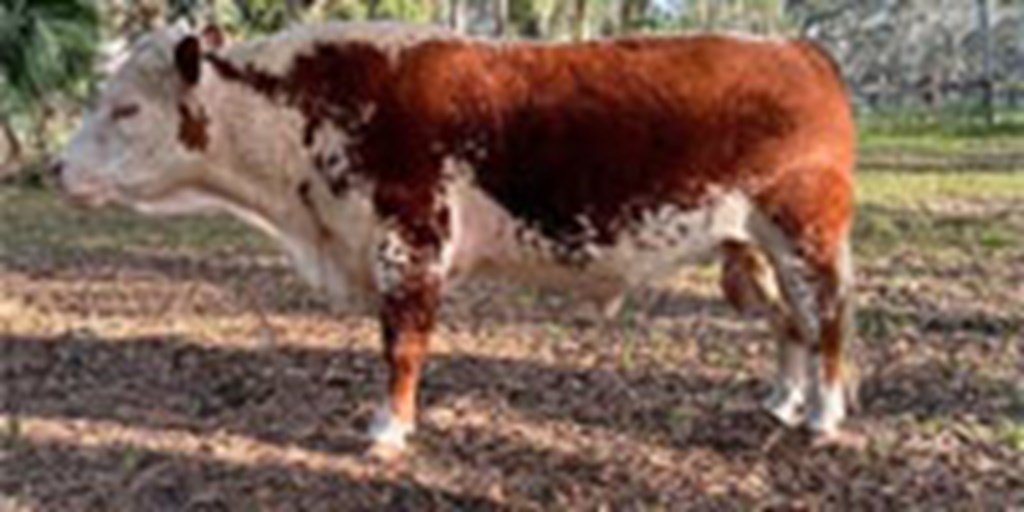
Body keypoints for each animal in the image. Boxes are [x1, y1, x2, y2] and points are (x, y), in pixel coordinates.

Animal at [54, 22, 857, 456]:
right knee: (789, 324)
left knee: (827, 322)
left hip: (806, 233)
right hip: (748, 250)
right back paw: (782, 401)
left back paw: (822, 417)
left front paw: (387, 431)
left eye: (125, 109)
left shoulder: (410, 240)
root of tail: (796, 49)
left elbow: (402, 343)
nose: (56, 168)